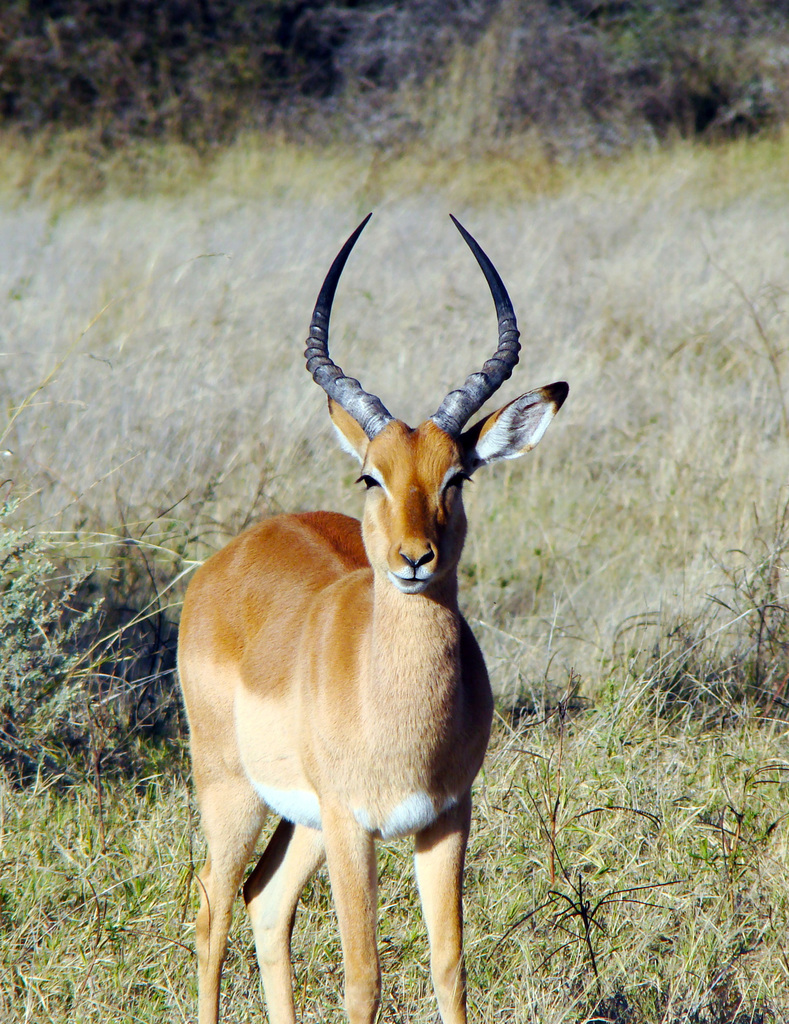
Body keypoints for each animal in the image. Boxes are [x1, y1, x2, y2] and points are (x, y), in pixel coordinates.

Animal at [177, 213, 568, 1024]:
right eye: (371, 476)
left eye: (457, 475)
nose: (414, 560)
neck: (393, 703)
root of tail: (227, 557)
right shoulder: (354, 825)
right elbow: (364, 977)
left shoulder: (446, 817)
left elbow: (449, 967)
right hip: (232, 790)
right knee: (211, 911)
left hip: (302, 819)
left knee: (265, 901)